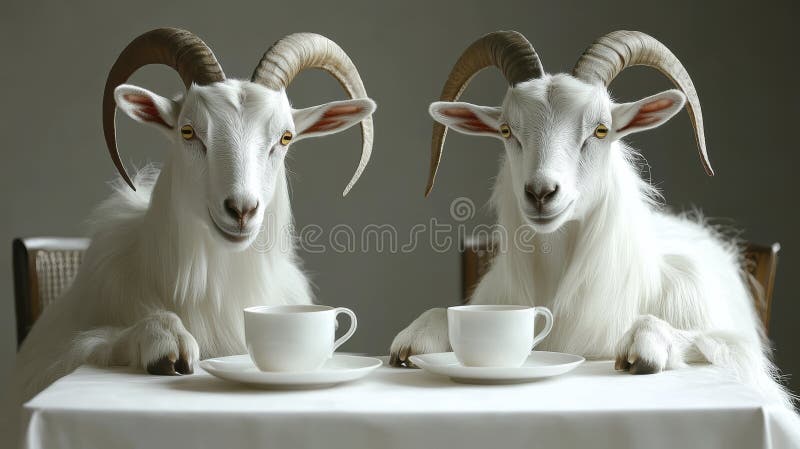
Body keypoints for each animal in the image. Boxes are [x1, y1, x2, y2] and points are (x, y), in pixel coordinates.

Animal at [389, 30, 793, 408]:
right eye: (506, 130)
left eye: (601, 129)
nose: (541, 193)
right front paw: (413, 342)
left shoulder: (727, 339)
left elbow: (704, 339)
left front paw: (643, 346)